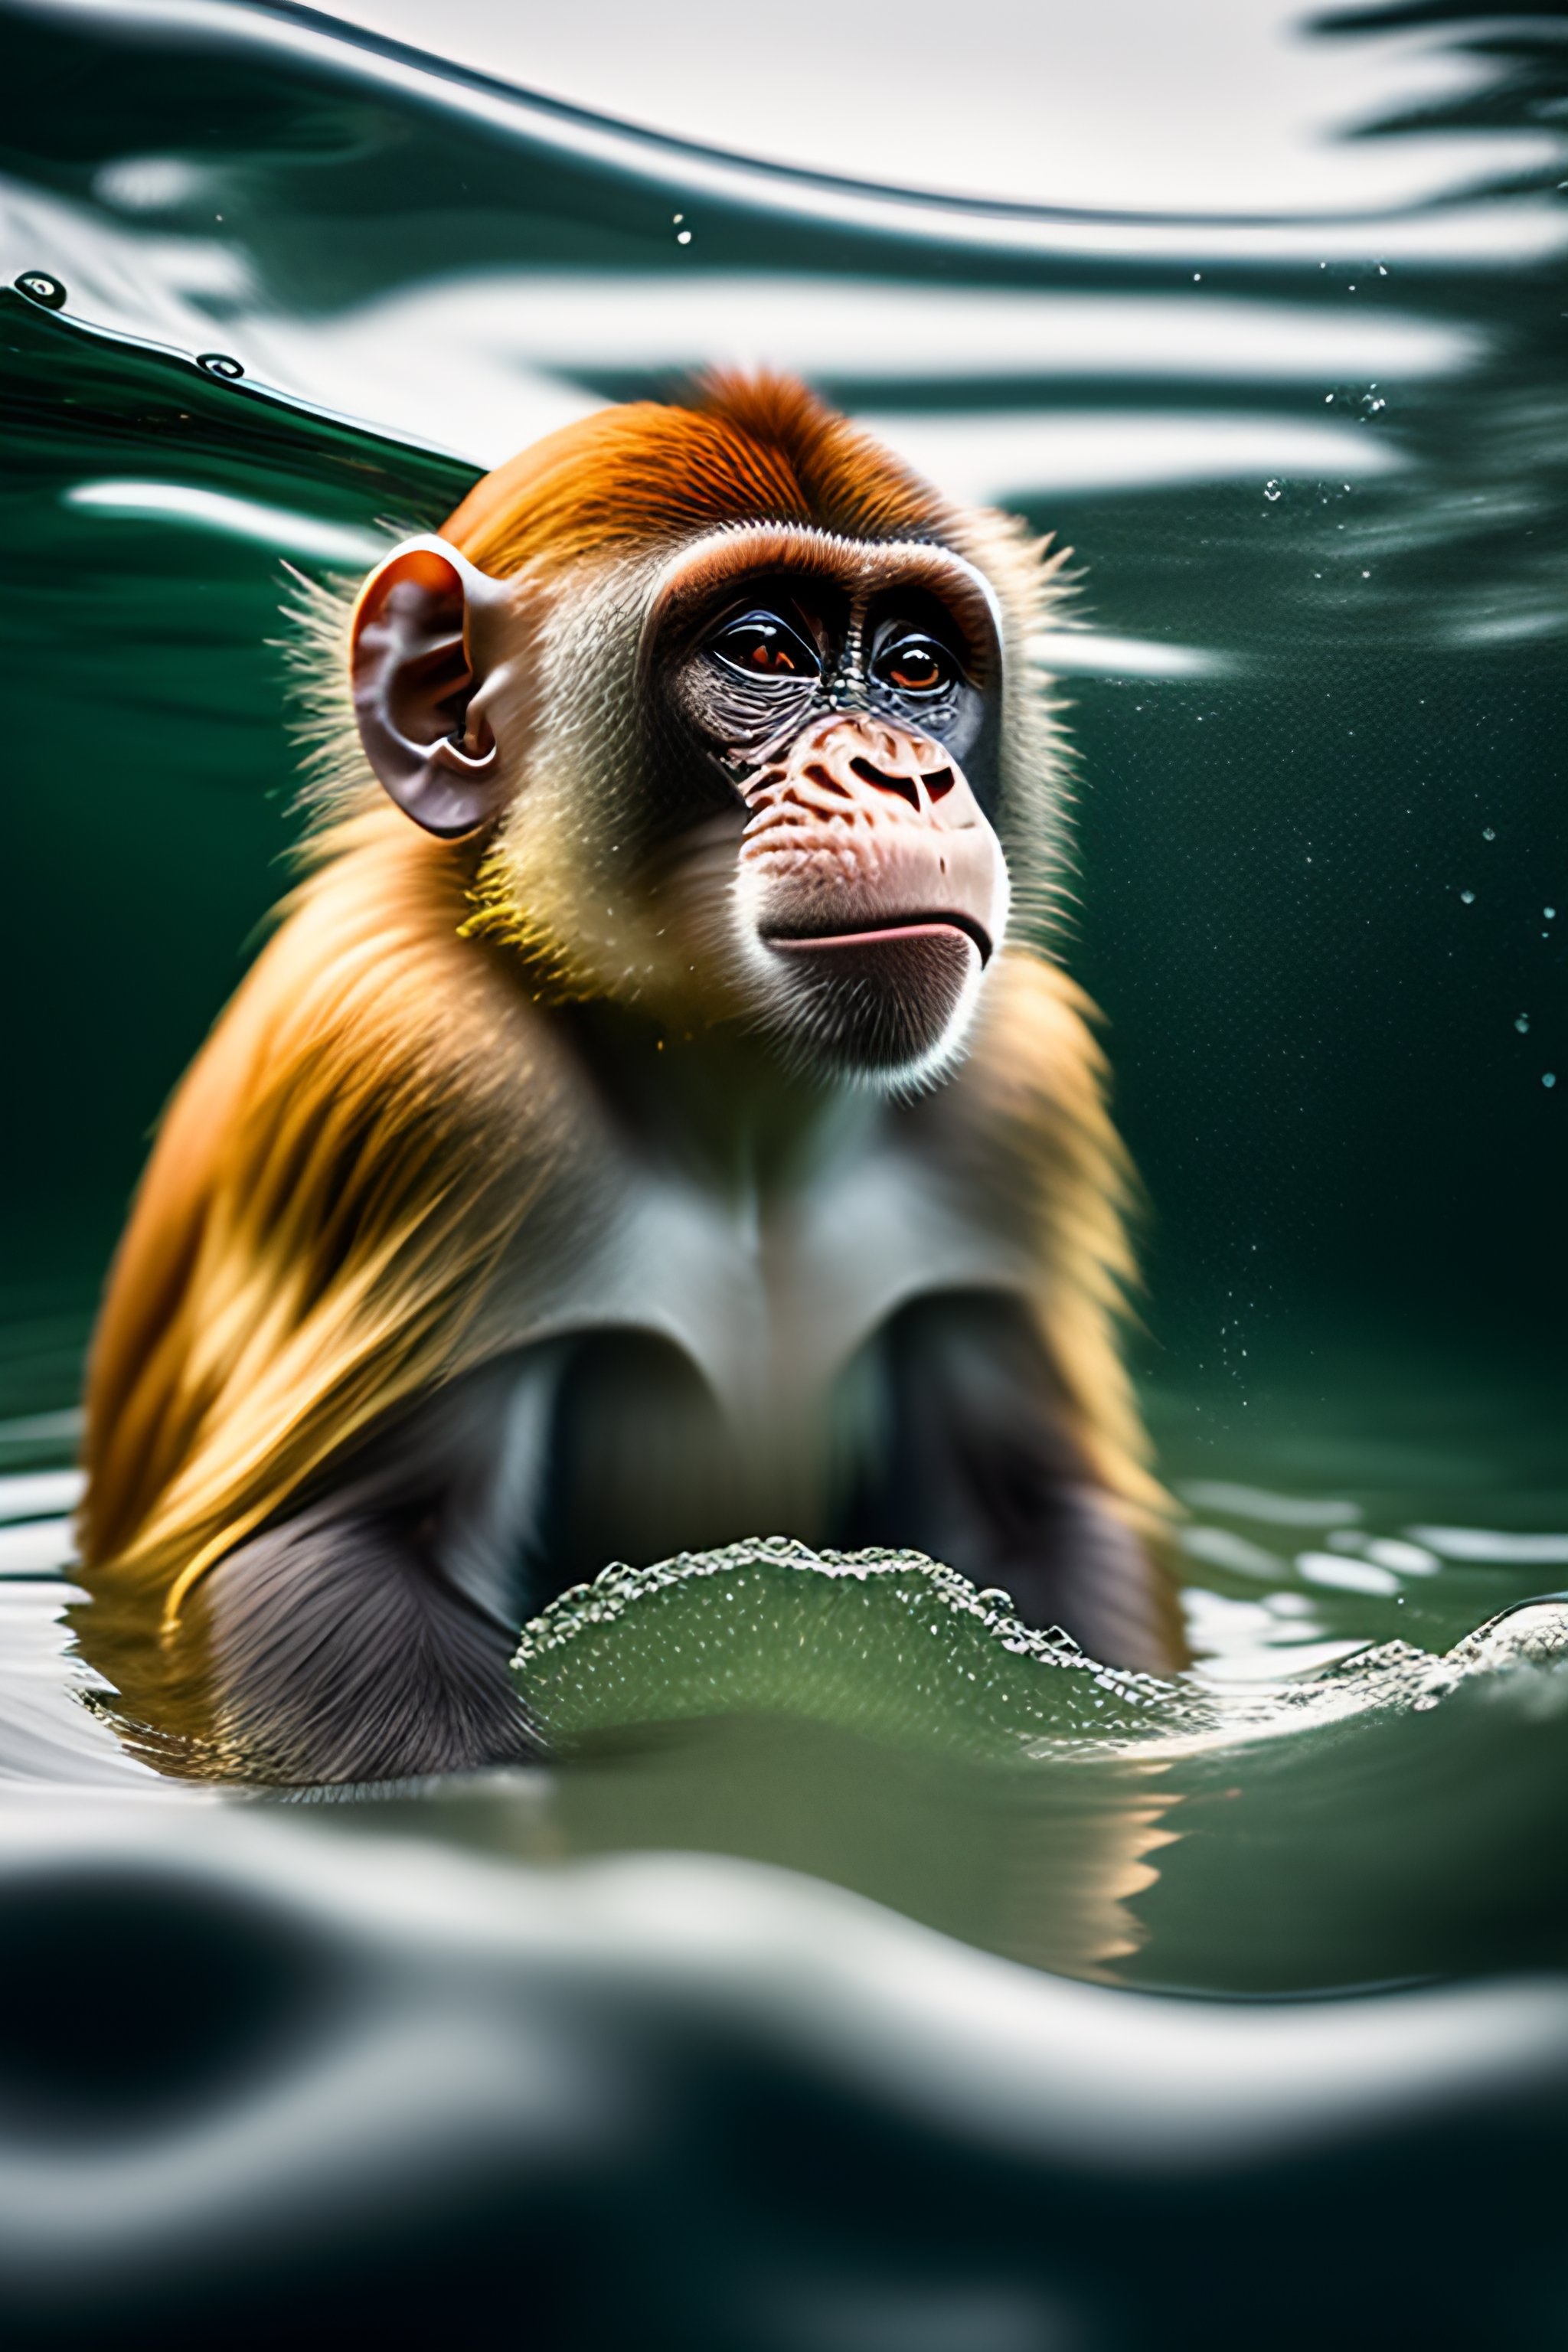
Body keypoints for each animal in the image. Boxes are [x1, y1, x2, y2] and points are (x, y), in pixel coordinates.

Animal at [75, 374, 1185, 1785]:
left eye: (917, 669)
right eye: (763, 651)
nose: (907, 773)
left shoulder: (1020, 1096)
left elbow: (1037, 1513)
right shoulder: (413, 1071)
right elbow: (328, 1552)